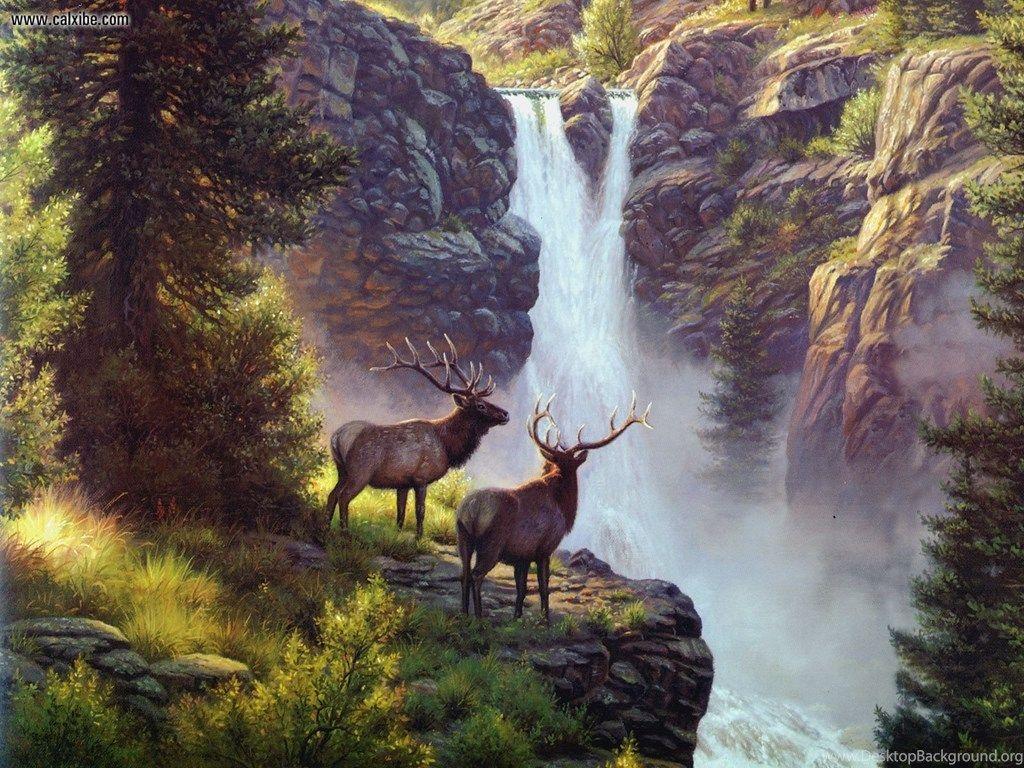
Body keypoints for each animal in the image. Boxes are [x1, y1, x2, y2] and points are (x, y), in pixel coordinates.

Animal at [325, 336, 509, 539]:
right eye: (480, 405)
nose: (505, 414)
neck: (447, 446)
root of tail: (337, 437)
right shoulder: (421, 478)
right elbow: (420, 510)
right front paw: (418, 538)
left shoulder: (402, 483)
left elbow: (401, 512)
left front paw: (397, 536)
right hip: (360, 471)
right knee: (343, 497)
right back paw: (345, 532)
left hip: (342, 470)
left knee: (332, 495)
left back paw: (324, 528)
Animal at [456, 393, 652, 624]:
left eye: (551, 463)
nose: (544, 466)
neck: (564, 506)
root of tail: (469, 511)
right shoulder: (545, 547)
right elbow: (543, 587)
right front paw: (546, 621)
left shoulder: (522, 555)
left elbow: (521, 589)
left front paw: (517, 618)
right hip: (491, 544)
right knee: (476, 575)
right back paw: (478, 618)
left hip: (463, 538)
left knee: (464, 575)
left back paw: (463, 614)